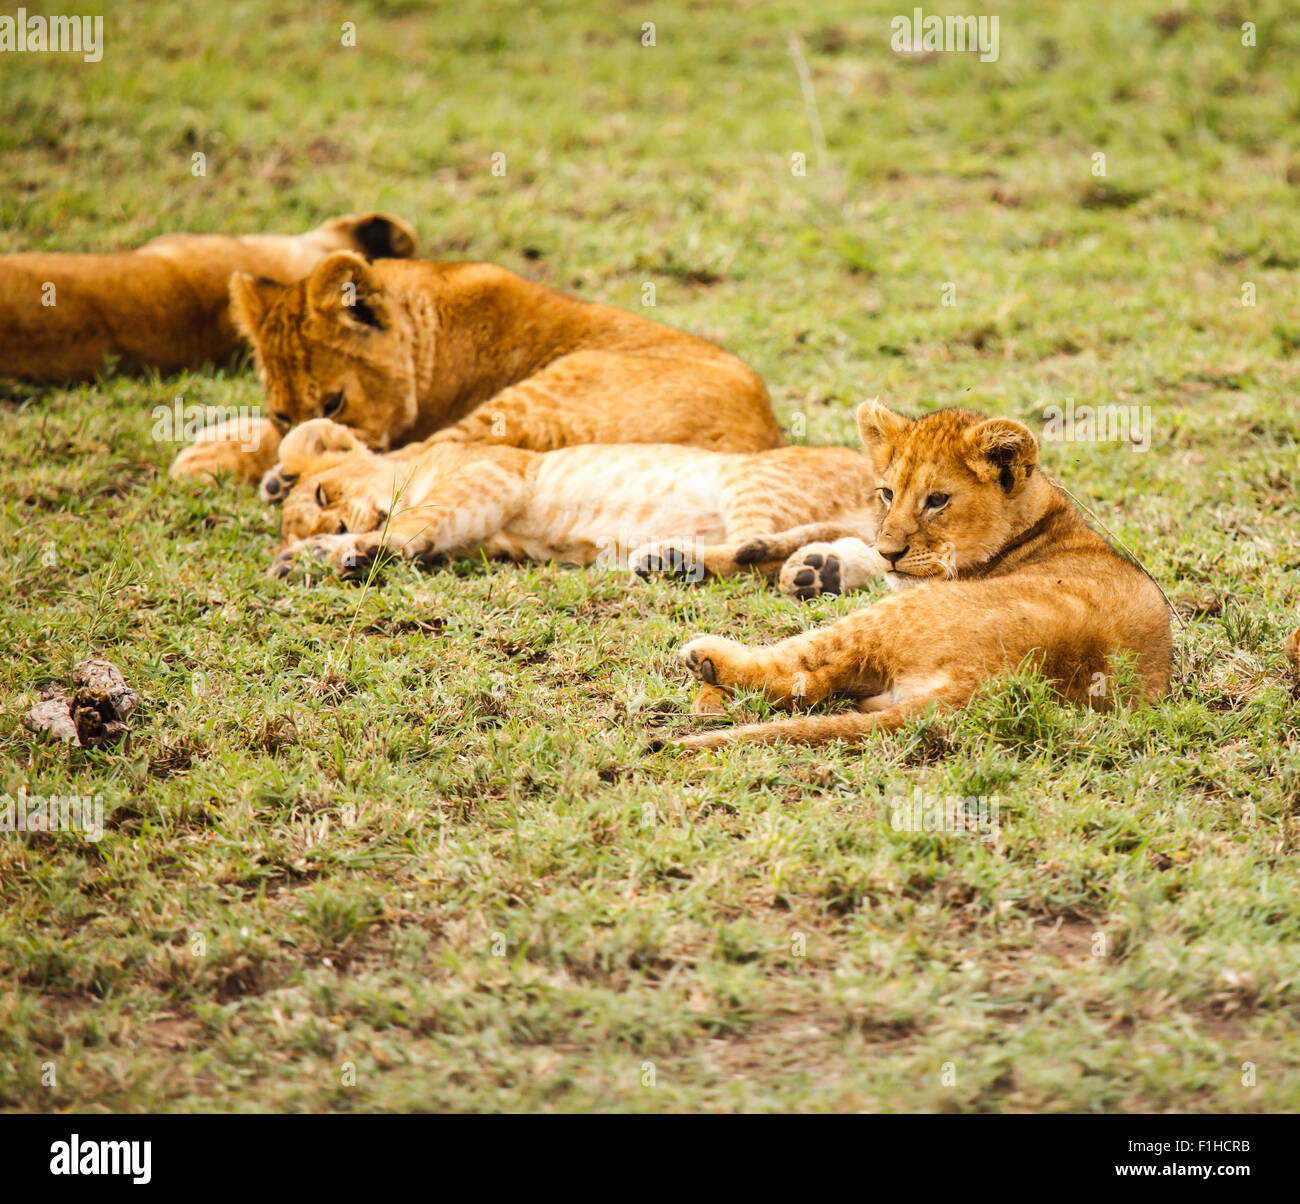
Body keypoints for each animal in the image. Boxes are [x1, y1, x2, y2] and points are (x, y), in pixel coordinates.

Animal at [170, 249, 783, 484]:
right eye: (281, 412)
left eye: (335, 402)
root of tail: (756, 440)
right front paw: (213, 447)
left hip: (550, 388)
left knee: (409, 460)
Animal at [262, 418, 884, 596]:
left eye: (324, 493)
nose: (342, 521)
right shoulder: (488, 538)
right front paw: (307, 557)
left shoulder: (493, 477)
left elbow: (419, 519)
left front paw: (366, 544)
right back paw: (816, 571)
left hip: (751, 477)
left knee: (751, 549)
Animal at [673, 399, 1174, 748]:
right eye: (887, 493)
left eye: (937, 500)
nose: (888, 553)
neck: (1040, 522)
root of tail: (988, 685)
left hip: (895, 612)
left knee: (801, 671)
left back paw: (707, 667)